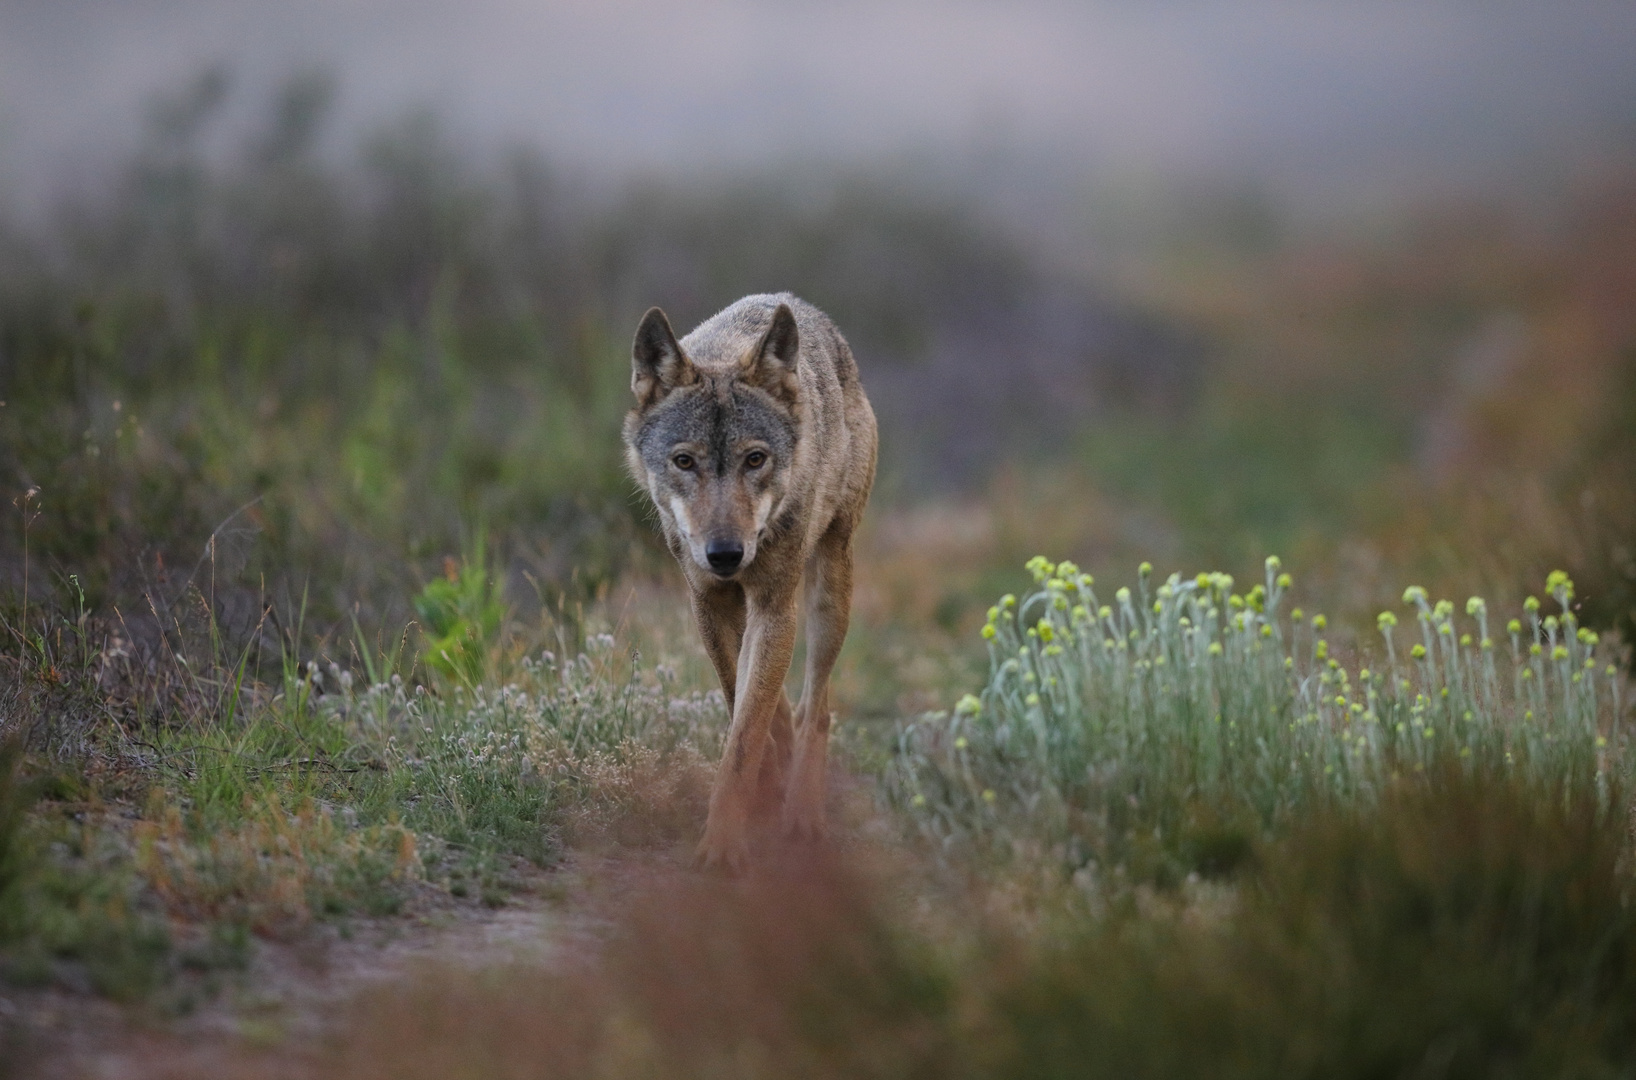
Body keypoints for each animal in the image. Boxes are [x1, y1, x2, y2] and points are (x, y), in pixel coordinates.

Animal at [623, 293, 878, 870]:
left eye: (755, 459)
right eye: (684, 461)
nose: (725, 554)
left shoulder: (774, 607)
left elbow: (746, 731)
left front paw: (723, 845)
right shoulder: (711, 603)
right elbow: (746, 703)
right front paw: (761, 792)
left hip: (830, 589)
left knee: (817, 708)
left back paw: (804, 815)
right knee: (794, 707)